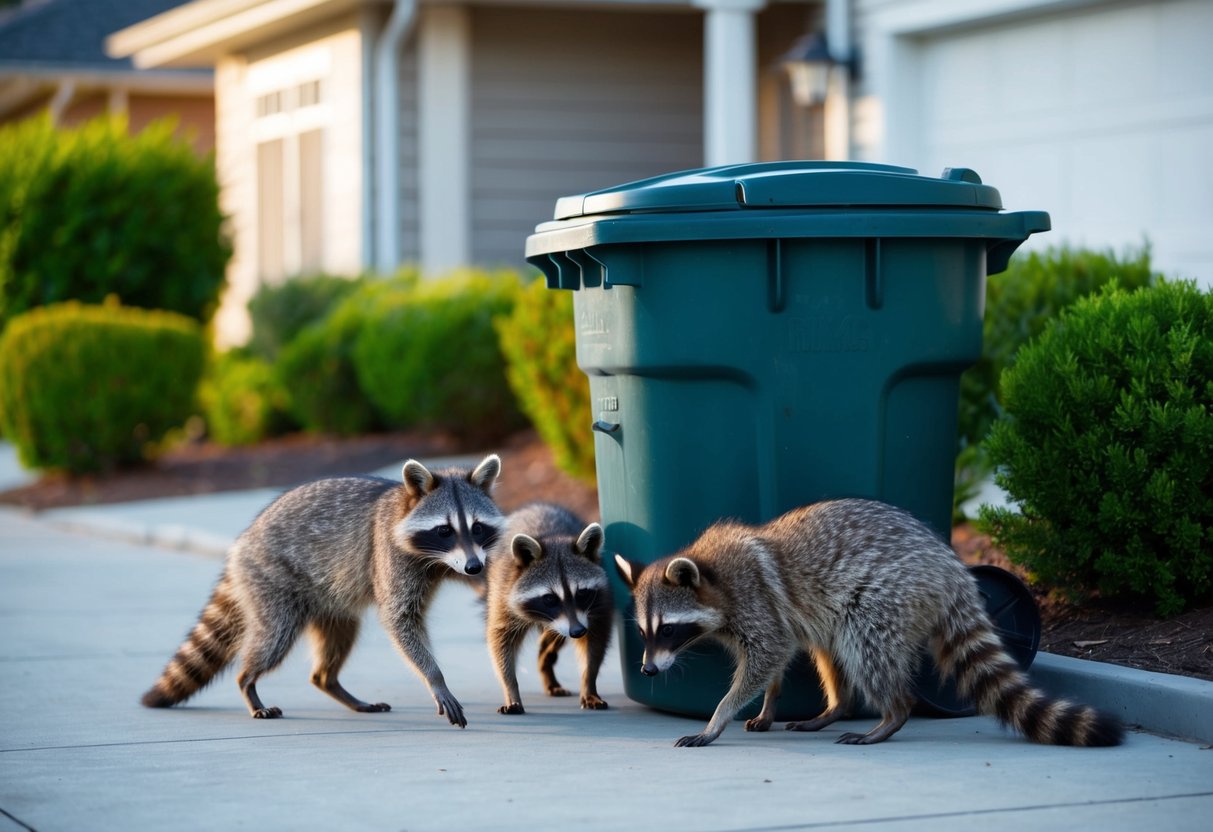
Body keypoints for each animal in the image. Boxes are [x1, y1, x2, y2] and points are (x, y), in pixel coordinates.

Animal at [141, 454, 503, 726]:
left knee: (339, 637)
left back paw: (328, 681)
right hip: (271, 579)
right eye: (444, 530)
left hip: (330, 600)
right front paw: (435, 678)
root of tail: (244, 539)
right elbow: (400, 619)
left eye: (477, 527)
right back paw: (247, 682)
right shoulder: (389, 554)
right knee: (273, 638)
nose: (473, 568)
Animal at [485, 502, 613, 714]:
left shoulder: (598, 605)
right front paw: (510, 688)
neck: (554, 538)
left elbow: (595, 642)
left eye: (582, 593)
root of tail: (536, 506)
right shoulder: (504, 593)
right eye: (550, 599)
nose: (577, 631)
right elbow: (501, 640)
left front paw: (589, 682)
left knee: (551, 646)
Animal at [615, 499, 1124, 749]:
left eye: (667, 630)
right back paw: (836, 707)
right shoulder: (769, 619)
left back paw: (890, 716)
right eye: (643, 632)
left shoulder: (754, 600)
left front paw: (718, 718)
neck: (711, 575)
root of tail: (951, 567)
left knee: (867, 651)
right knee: (830, 651)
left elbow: (765, 657)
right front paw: (769, 705)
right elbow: (777, 660)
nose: (647, 670)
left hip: (885, 596)